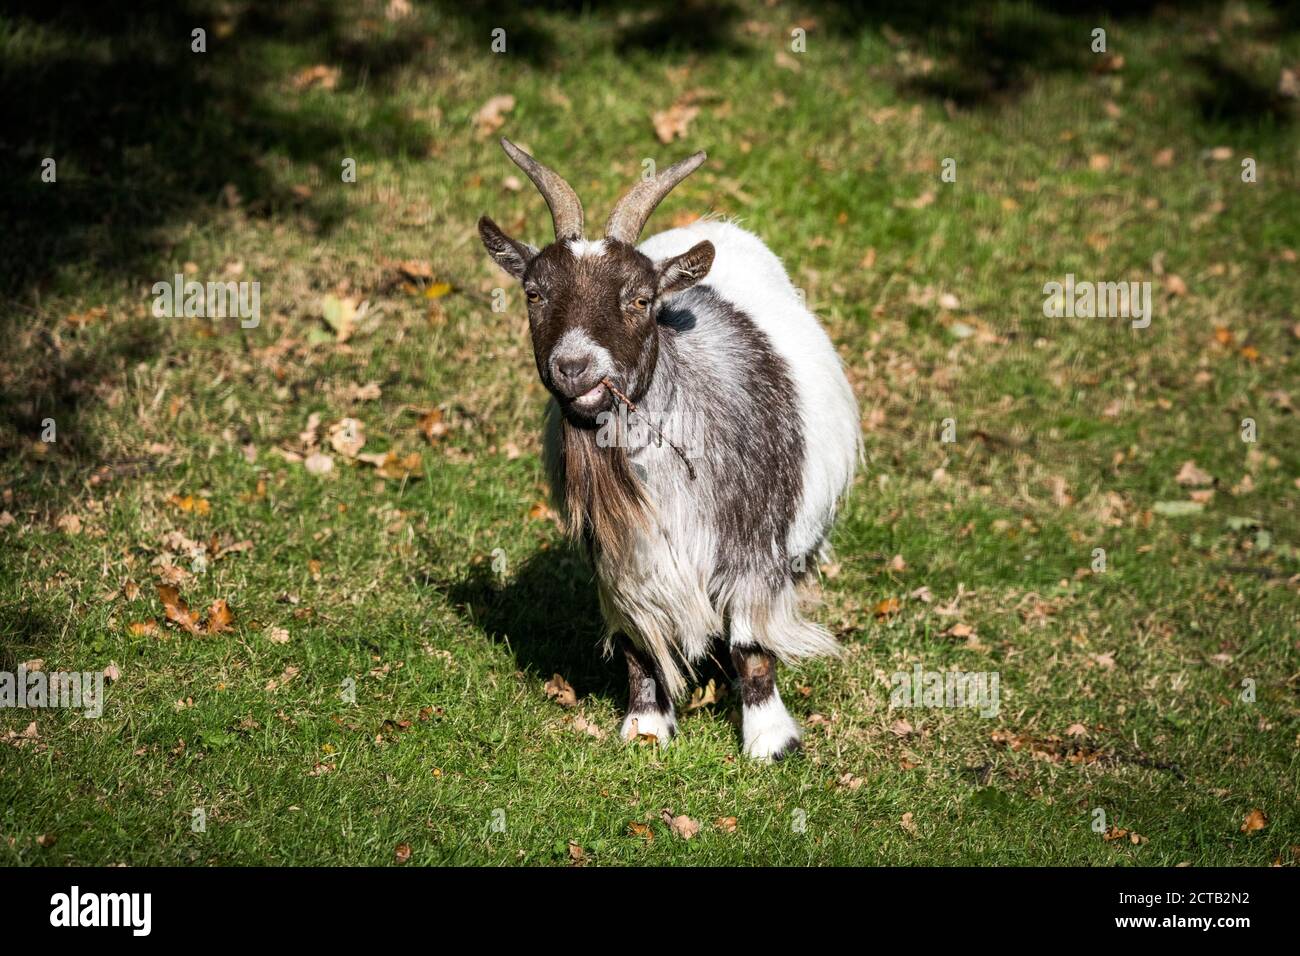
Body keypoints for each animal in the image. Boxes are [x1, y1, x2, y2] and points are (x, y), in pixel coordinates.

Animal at [479, 139, 859, 760]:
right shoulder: (621, 559)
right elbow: (638, 641)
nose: (574, 366)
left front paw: (770, 740)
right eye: (534, 293)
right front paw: (646, 725)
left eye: (640, 299)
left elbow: (752, 643)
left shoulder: (753, 547)